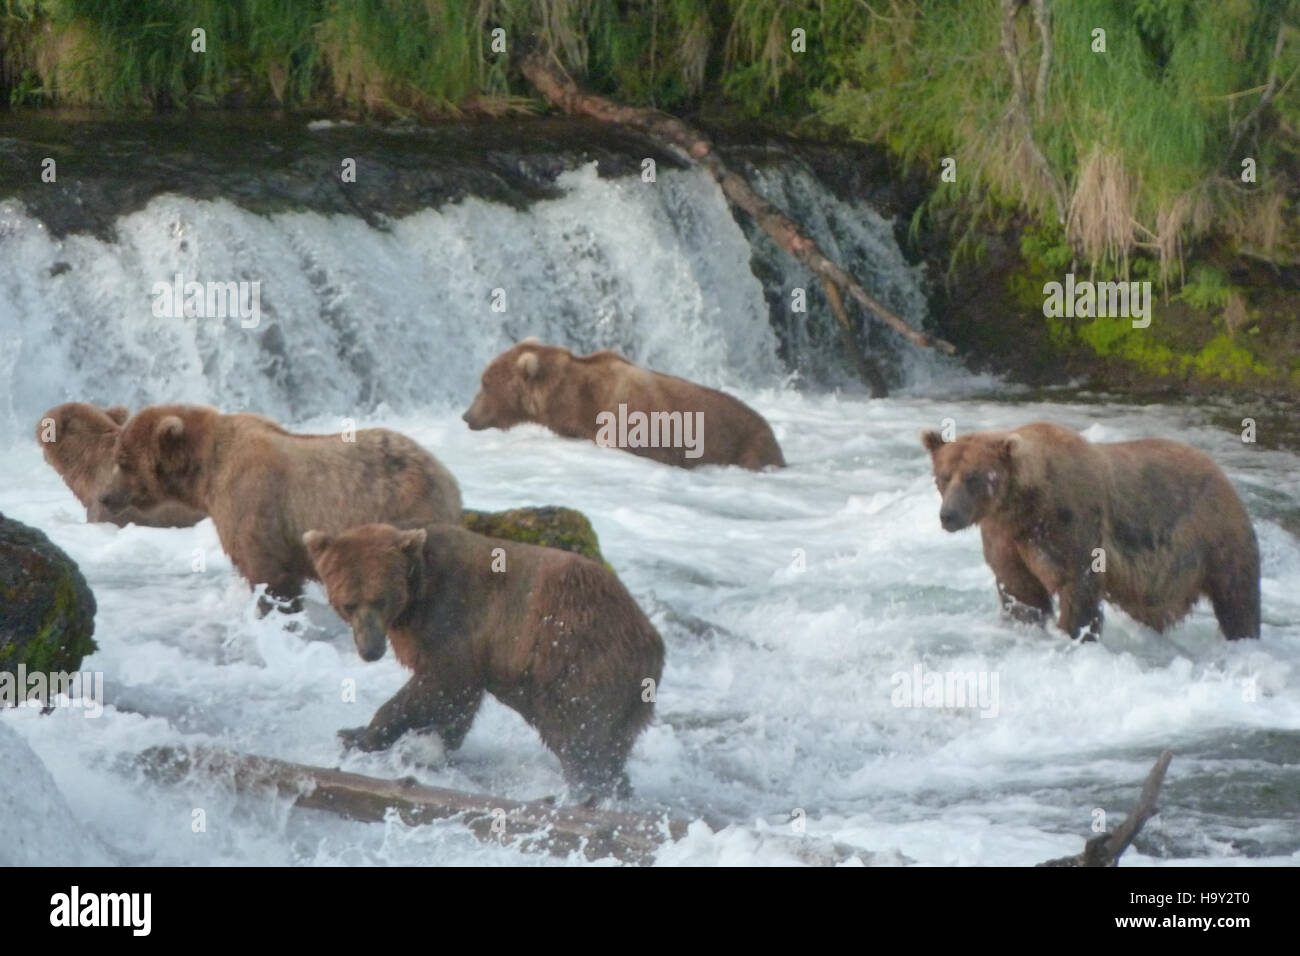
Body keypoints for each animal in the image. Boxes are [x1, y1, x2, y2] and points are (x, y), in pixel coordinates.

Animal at [100, 405, 462, 612]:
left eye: (123, 460)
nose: (106, 496)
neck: (206, 471)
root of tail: (445, 475)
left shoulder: (252, 504)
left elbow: (268, 574)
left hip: (402, 510)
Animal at [302, 522, 665, 800]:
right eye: (348, 603)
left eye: (380, 599)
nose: (370, 650)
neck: (417, 596)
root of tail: (654, 641)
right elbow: (456, 704)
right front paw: (427, 749)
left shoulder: (453, 619)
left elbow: (441, 683)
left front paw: (360, 734)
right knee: (605, 747)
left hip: (580, 660)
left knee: (582, 737)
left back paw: (588, 793)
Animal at [921, 422, 1259, 642]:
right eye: (944, 476)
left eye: (974, 478)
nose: (948, 515)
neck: (1022, 505)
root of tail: (1220, 471)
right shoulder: (1004, 537)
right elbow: (1021, 590)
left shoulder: (1069, 523)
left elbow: (1076, 585)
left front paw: (1073, 632)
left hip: (1214, 534)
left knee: (1237, 597)